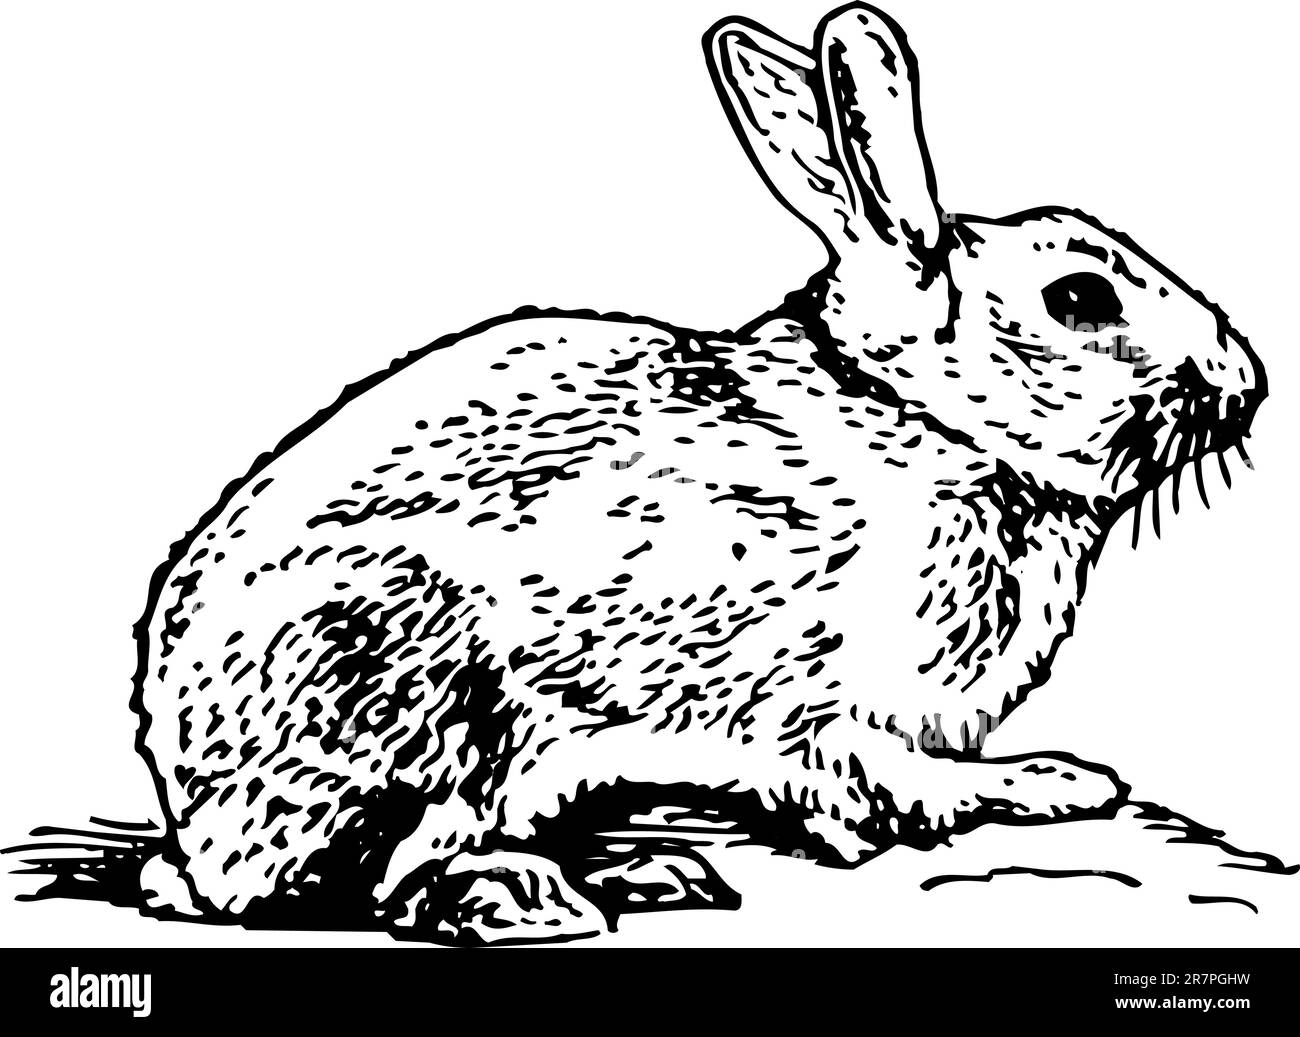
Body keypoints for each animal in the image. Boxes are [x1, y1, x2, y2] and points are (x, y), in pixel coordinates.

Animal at [131, 3, 1266, 944]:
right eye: (1078, 299)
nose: (1246, 383)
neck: (918, 415)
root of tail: (190, 805)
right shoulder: (831, 707)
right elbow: (905, 781)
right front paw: (1057, 782)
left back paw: (646, 870)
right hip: (422, 711)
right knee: (367, 881)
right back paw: (524, 897)